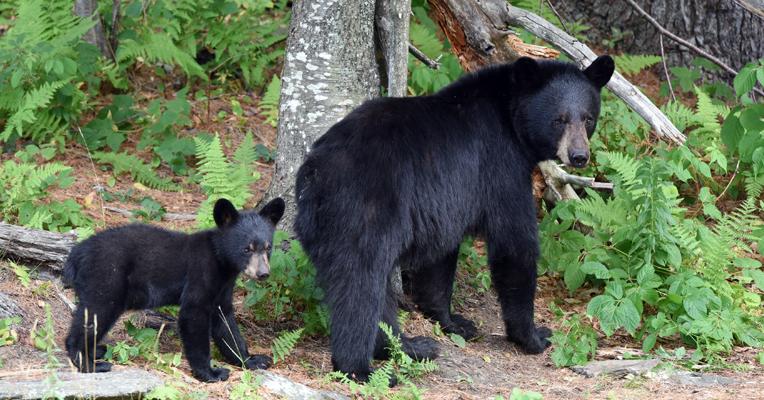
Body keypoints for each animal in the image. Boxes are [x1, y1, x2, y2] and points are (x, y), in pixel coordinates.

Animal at [63, 197, 285, 382]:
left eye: (268, 247)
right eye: (246, 249)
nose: (263, 273)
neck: (222, 263)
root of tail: (77, 253)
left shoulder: (223, 288)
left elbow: (226, 323)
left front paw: (253, 359)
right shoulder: (200, 274)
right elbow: (193, 316)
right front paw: (211, 373)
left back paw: (96, 351)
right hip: (107, 277)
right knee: (95, 313)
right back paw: (90, 363)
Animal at [294, 55, 615, 381]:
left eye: (588, 118)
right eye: (559, 119)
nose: (579, 156)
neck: (509, 117)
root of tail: (315, 173)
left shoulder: (444, 201)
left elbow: (439, 258)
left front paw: (453, 321)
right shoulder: (500, 168)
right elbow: (514, 245)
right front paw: (533, 336)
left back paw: (410, 345)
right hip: (365, 210)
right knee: (360, 284)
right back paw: (359, 368)